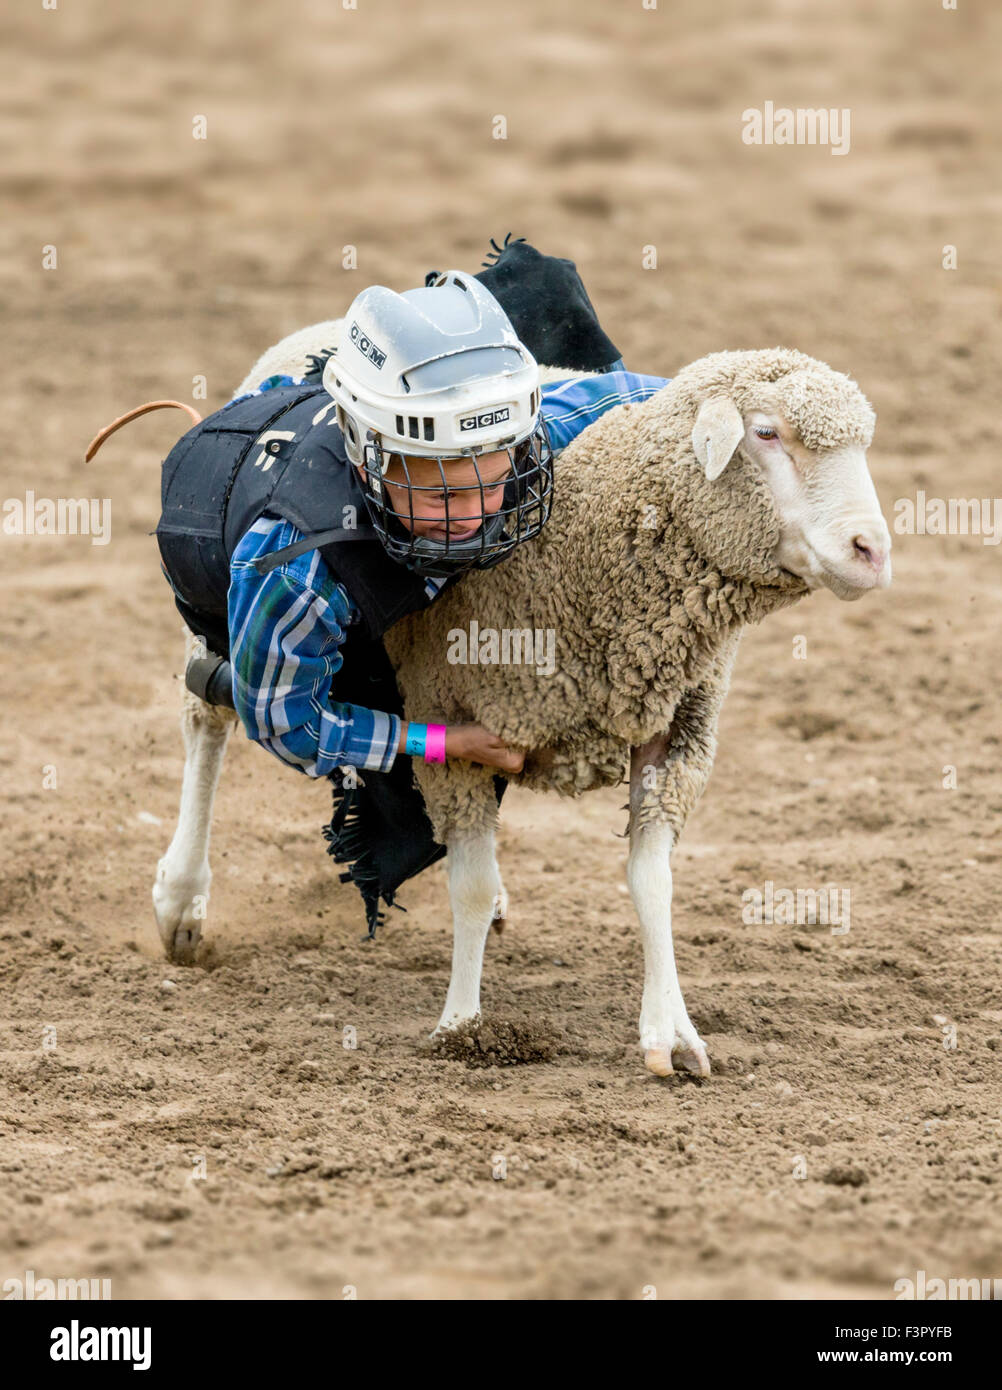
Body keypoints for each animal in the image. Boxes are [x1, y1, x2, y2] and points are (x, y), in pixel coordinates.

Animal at [382, 346, 891, 1078]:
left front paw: (670, 1033)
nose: (873, 553)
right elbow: (471, 887)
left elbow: (653, 881)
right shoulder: (445, 730)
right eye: (767, 434)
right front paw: (462, 1028)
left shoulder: (678, 732)